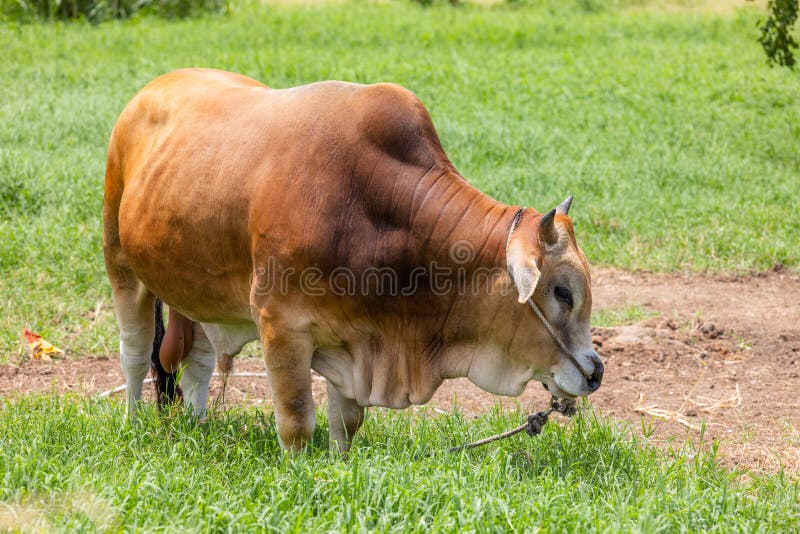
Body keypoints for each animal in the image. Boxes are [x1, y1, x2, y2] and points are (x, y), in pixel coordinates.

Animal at [103, 68, 603, 454]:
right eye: (563, 292)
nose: (595, 372)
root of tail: (149, 90)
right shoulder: (281, 326)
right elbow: (297, 420)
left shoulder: (358, 339)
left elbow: (346, 423)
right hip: (121, 265)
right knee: (135, 353)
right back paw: (133, 423)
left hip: (202, 293)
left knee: (198, 364)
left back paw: (198, 426)